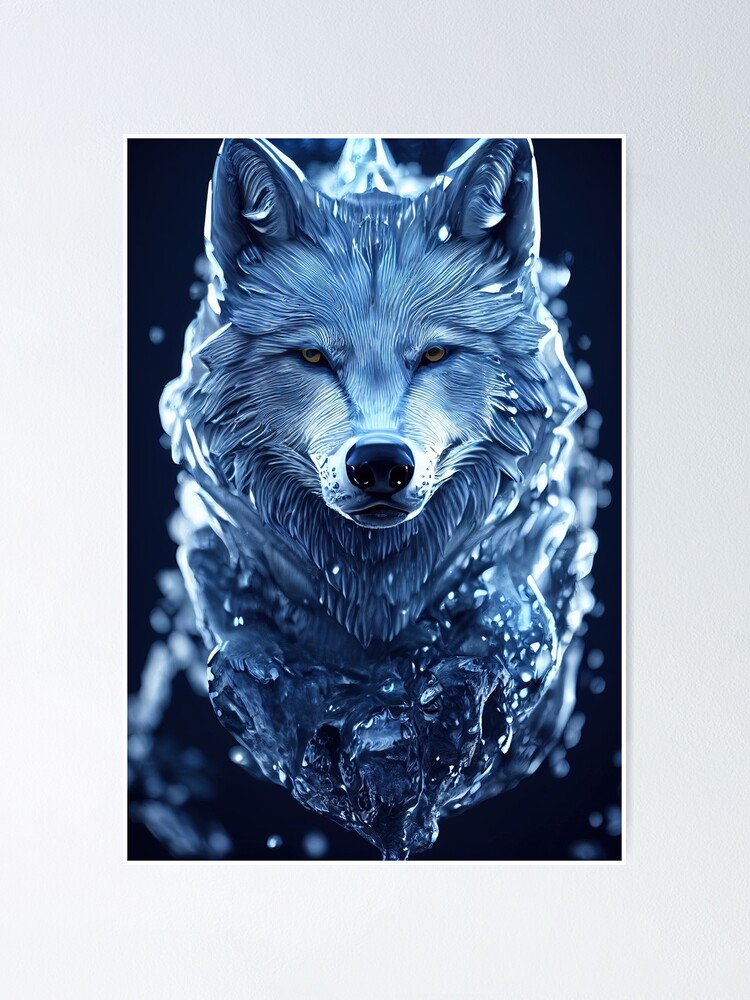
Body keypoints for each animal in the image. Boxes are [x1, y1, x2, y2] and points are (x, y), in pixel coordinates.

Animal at [159, 137, 598, 859]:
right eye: (312, 357)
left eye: (436, 355)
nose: (381, 465)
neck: (372, 592)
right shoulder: (210, 539)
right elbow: (244, 637)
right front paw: (311, 733)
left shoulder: (548, 525)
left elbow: (512, 617)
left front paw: (447, 720)